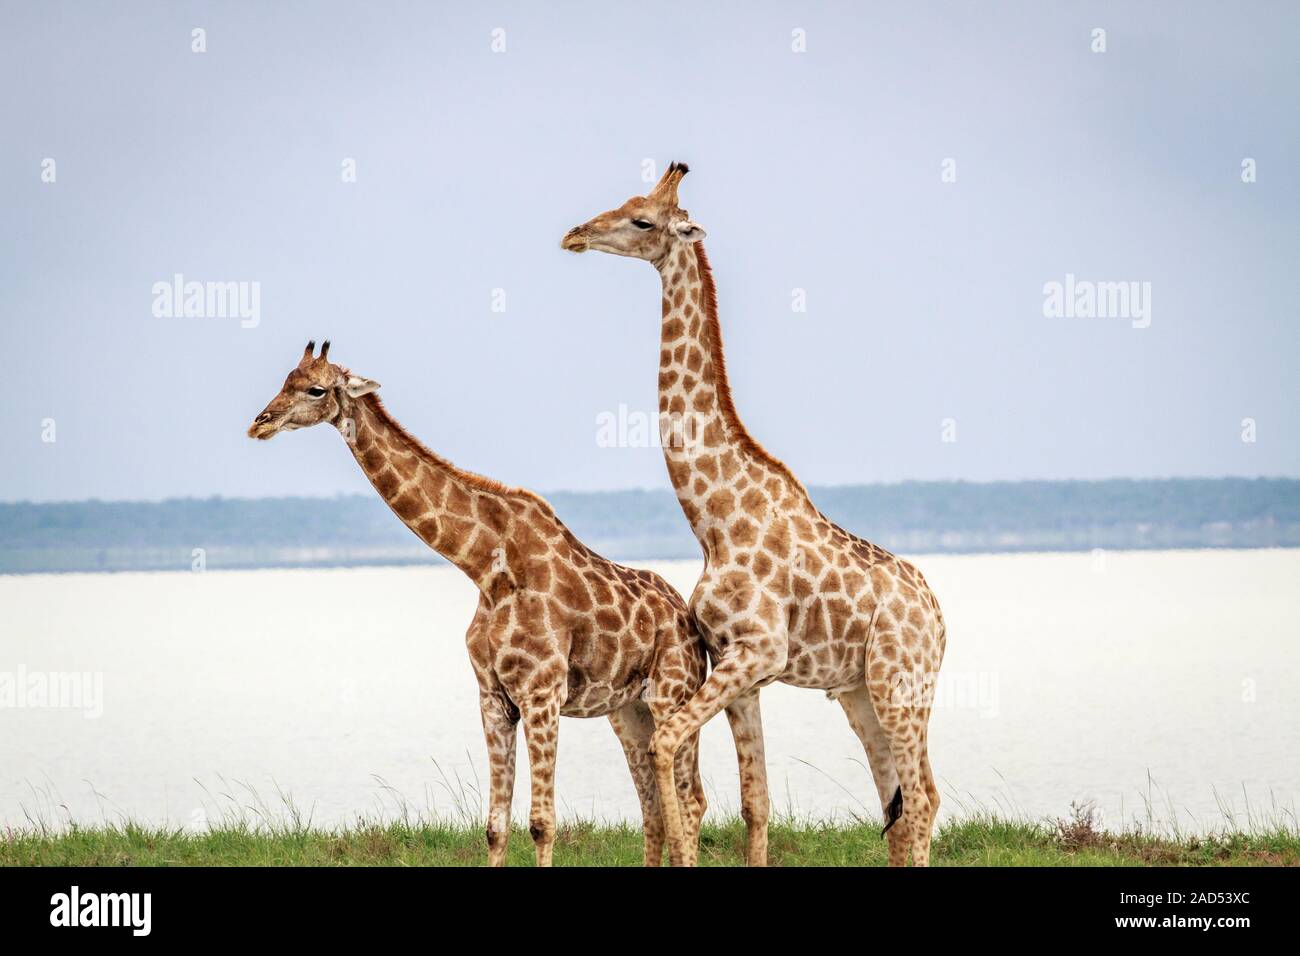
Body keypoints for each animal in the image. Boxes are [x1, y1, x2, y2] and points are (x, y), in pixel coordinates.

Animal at [247, 340, 709, 866]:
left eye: (316, 389)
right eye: (285, 379)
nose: (260, 423)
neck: (486, 569)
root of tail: (692, 624)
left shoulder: (541, 694)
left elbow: (542, 823)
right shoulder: (492, 697)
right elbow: (495, 826)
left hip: (672, 694)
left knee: (691, 801)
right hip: (629, 711)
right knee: (654, 805)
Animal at [561, 164, 948, 867]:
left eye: (642, 219)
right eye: (625, 201)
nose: (575, 234)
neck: (713, 520)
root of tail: (938, 617)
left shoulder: (759, 650)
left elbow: (668, 747)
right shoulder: (744, 669)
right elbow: (755, 802)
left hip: (901, 682)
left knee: (925, 798)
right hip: (860, 691)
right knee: (900, 804)